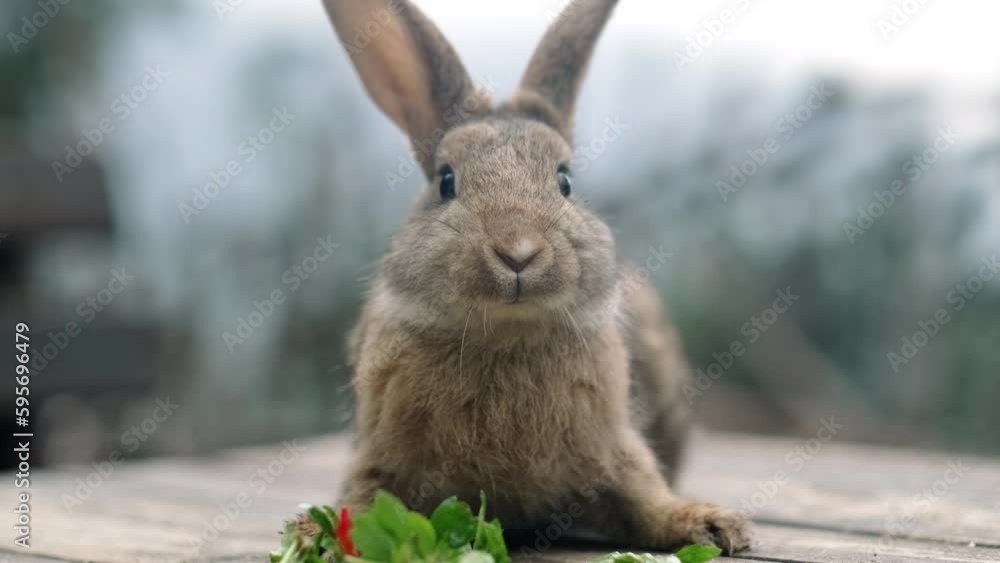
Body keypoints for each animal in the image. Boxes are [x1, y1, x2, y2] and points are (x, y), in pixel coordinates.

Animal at [297, 0, 753, 554]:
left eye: (565, 181)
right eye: (446, 181)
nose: (518, 253)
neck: (505, 334)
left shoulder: (616, 446)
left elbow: (646, 496)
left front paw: (713, 525)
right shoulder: (378, 452)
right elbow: (362, 499)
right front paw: (314, 535)